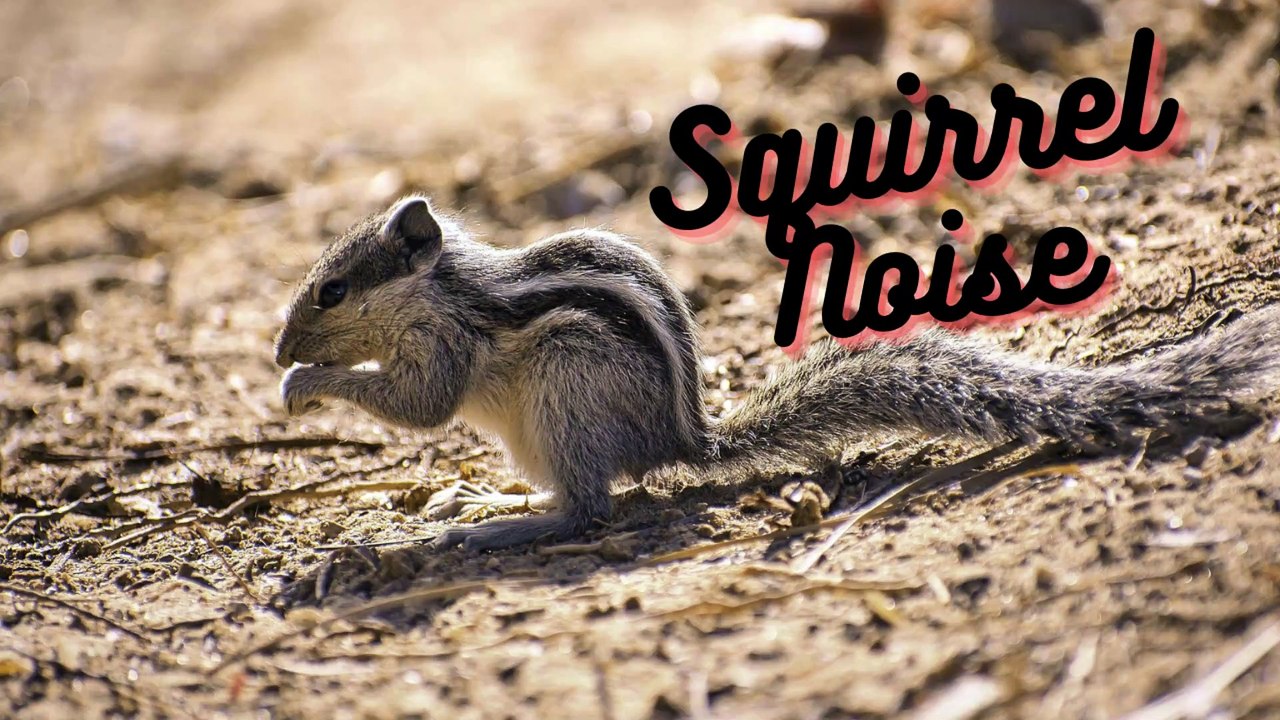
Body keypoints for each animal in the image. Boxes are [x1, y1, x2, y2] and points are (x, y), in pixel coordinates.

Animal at [274, 195, 1280, 552]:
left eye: (330, 289)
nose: (281, 350)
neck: (439, 286)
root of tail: (682, 436)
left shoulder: (446, 344)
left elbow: (420, 407)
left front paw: (305, 387)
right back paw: (488, 501)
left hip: (566, 390)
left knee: (588, 510)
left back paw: (492, 527)